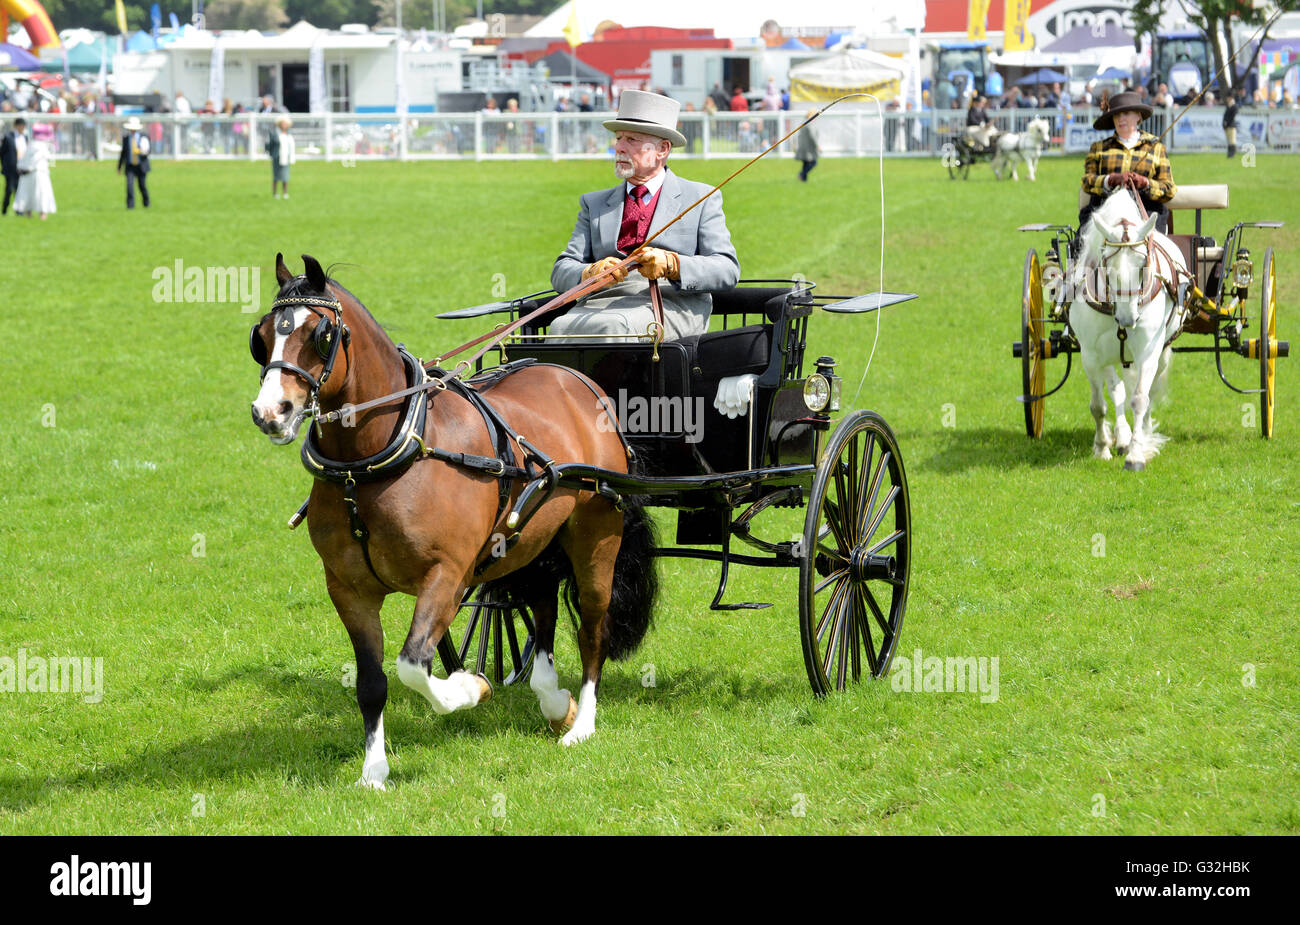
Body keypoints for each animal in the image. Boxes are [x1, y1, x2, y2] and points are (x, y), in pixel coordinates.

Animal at [249, 254, 658, 789]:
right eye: (260, 336)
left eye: (321, 333)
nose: (270, 412)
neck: (374, 462)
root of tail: (575, 378)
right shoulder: (348, 587)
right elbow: (373, 681)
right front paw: (374, 771)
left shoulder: (447, 575)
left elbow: (412, 665)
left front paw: (470, 686)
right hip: (528, 538)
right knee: (543, 605)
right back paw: (552, 699)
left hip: (596, 532)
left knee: (593, 624)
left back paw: (582, 722)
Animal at [1067, 189, 1188, 470]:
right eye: (1105, 266)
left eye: (1144, 263)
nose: (1127, 318)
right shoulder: (1090, 356)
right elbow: (1098, 405)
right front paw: (1102, 447)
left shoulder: (1148, 352)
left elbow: (1141, 398)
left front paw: (1136, 454)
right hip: (1110, 355)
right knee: (1116, 389)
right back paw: (1121, 438)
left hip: (1161, 352)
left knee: (1146, 393)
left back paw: (1141, 435)